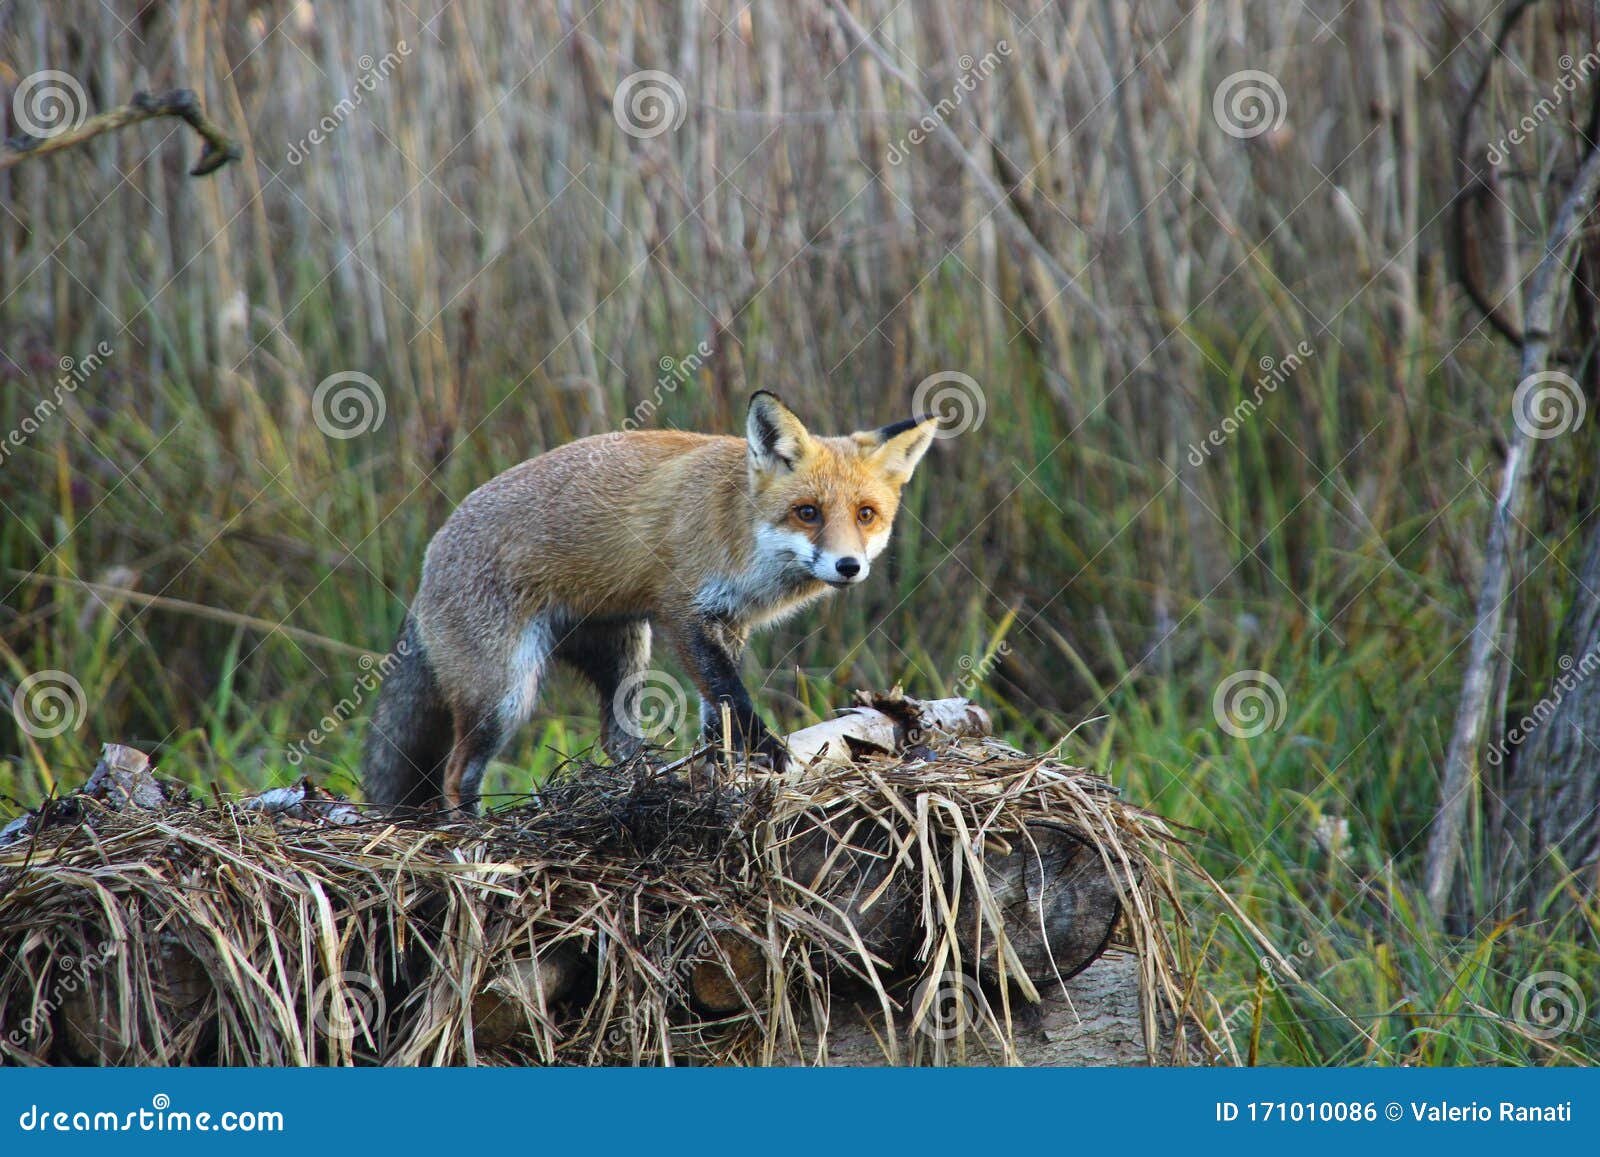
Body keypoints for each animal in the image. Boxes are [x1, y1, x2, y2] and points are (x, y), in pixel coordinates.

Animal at [361, 390, 938, 811]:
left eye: (866, 514)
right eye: (808, 512)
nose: (848, 566)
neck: (739, 531)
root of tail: (430, 560)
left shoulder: (729, 623)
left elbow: (716, 712)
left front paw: (720, 776)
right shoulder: (684, 611)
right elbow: (733, 695)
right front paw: (767, 751)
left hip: (623, 656)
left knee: (615, 741)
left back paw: (636, 784)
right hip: (504, 696)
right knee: (456, 775)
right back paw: (471, 839)